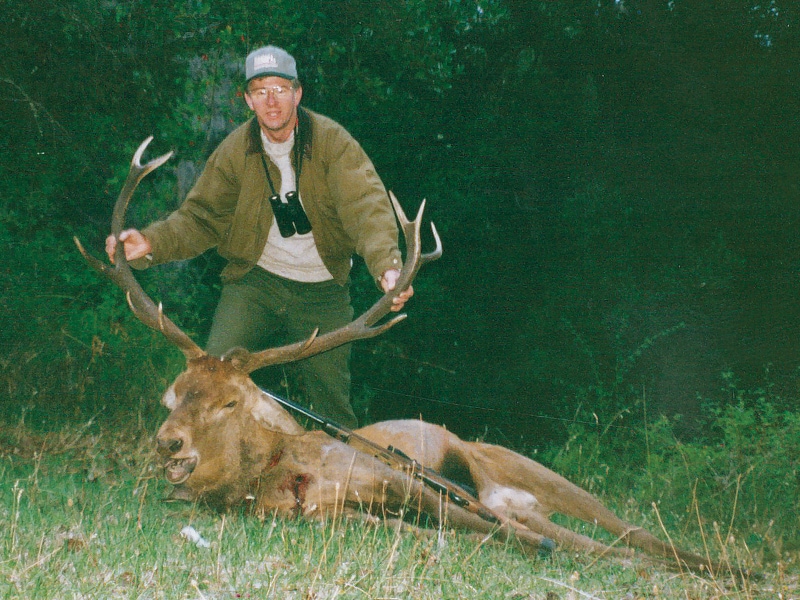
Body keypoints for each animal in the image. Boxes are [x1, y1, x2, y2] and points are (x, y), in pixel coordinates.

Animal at [76, 137, 723, 573]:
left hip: (524, 465)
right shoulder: (336, 515)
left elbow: (504, 533)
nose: (168, 443)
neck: (276, 472)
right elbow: (463, 533)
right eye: (175, 394)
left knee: (627, 530)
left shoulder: (393, 476)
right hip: (522, 494)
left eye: (232, 401)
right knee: (567, 528)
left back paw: (717, 568)